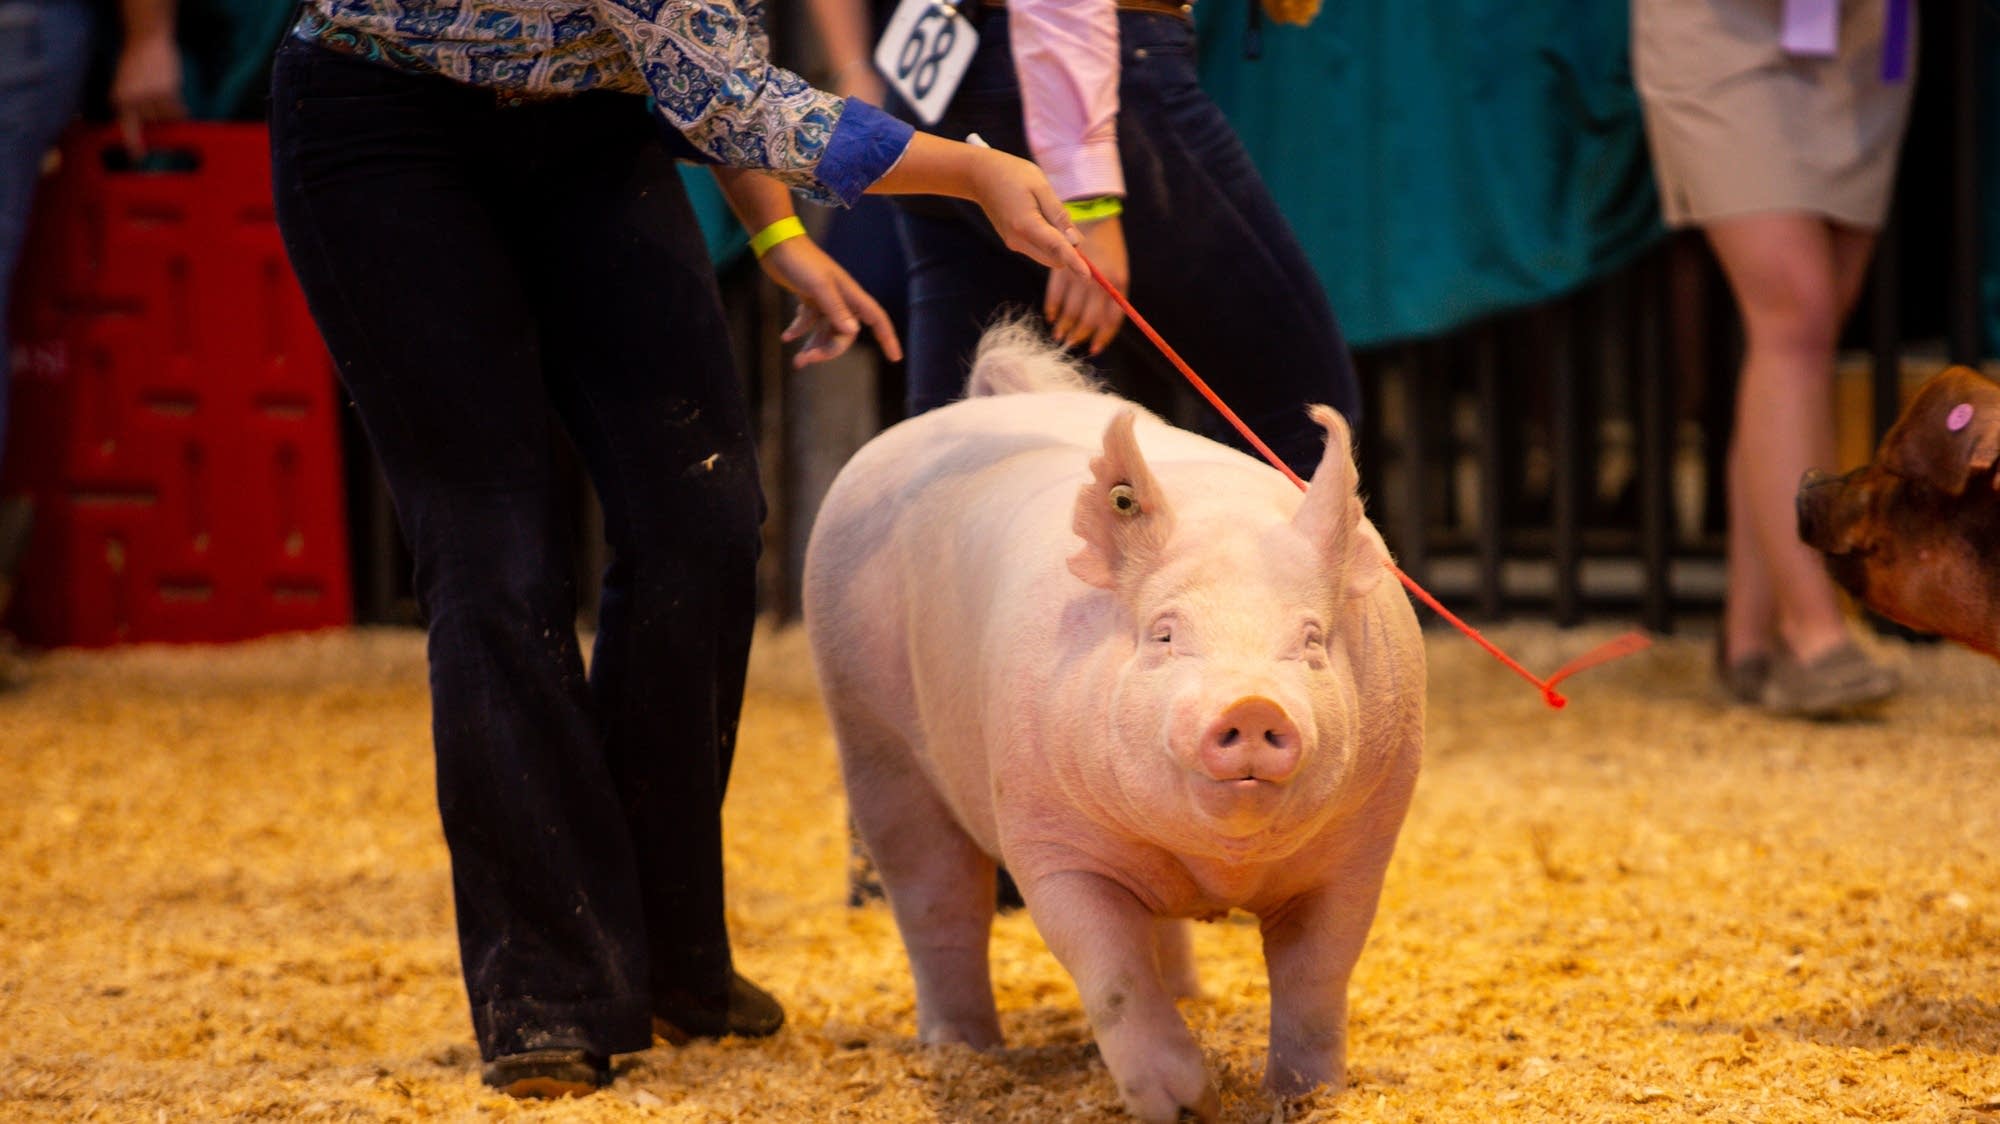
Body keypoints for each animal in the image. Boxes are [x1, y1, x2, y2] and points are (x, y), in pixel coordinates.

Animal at [802, 321, 1424, 1122]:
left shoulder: (1362, 844)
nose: (1252, 704)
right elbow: (1111, 969)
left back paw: (1190, 996)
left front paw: (1304, 1094)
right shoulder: (1051, 840)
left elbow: (1317, 974)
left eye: (1312, 640)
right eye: (1164, 634)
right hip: (870, 732)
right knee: (932, 896)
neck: (1218, 866)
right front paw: (1186, 1101)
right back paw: (963, 1049)